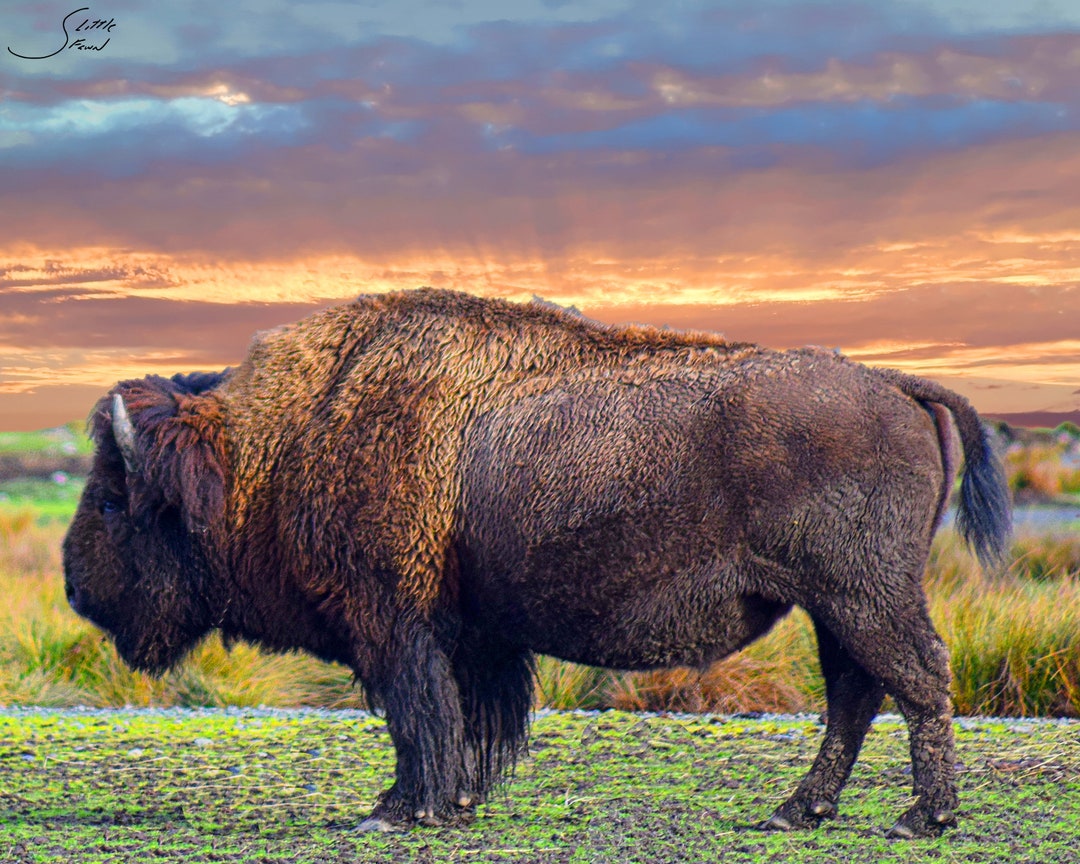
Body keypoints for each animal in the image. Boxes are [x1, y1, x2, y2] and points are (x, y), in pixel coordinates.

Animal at [63, 288, 1010, 837]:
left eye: (113, 499)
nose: (75, 585)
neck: (272, 444)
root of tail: (893, 384)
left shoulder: (394, 626)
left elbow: (418, 718)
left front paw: (396, 813)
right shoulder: (467, 634)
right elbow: (465, 718)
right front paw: (454, 804)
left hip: (863, 595)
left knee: (917, 679)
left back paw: (922, 818)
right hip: (836, 604)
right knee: (858, 692)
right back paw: (798, 812)